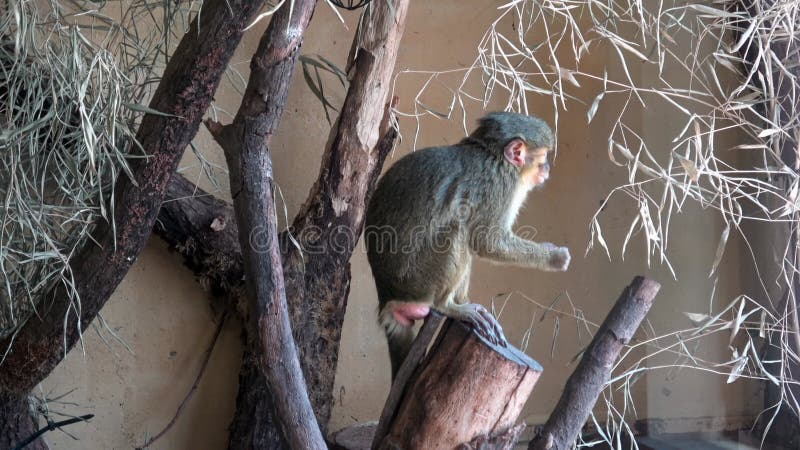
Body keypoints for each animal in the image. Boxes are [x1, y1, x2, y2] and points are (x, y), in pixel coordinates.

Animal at [364, 111, 571, 379]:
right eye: (544, 157)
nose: (547, 168)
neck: (492, 153)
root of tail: (387, 295)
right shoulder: (501, 185)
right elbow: (487, 242)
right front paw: (554, 257)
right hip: (416, 281)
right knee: (458, 230)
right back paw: (448, 306)